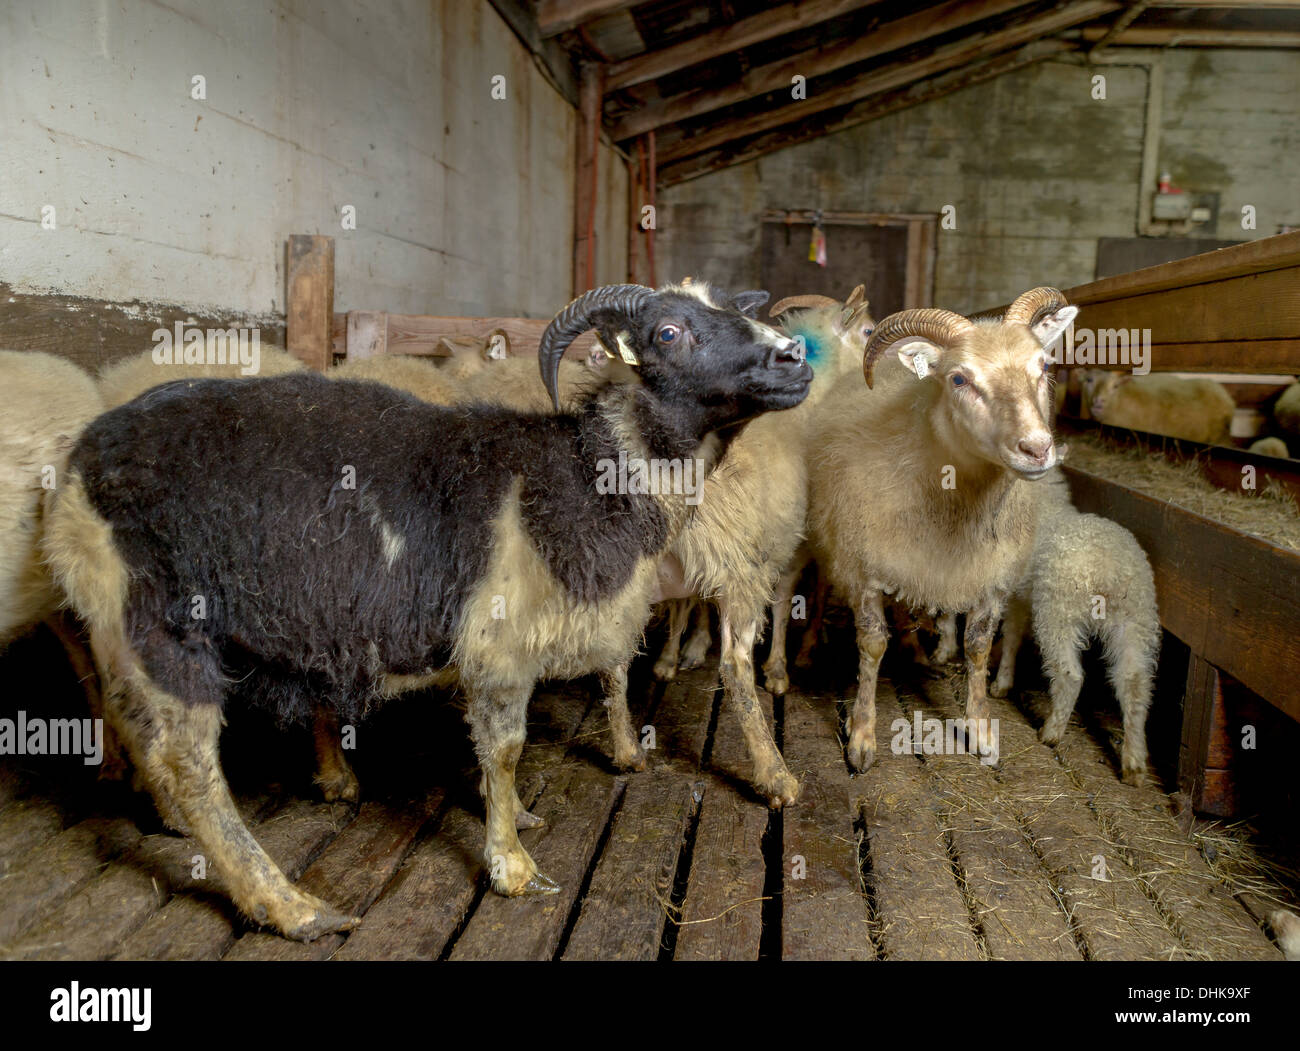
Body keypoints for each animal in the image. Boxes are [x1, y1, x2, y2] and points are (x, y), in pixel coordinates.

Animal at [42, 281, 810, 940]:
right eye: (669, 332)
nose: (793, 355)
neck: (587, 480)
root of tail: (80, 461)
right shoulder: (499, 643)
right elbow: (505, 749)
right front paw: (513, 866)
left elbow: (491, 746)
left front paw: (518, 818)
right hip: (164, 625)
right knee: (189, 765)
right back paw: (290, 906)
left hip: (123, 633)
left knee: (141, 735)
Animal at [803, 288, 1078, 772]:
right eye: (959, 379)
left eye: (1044, 366)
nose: (1037, 448)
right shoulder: (864, 569)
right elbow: (871, 647)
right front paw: (862, 736)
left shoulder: (987, 577)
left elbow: (978, 648)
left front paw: (981, 729)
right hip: (831, 539)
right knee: (819, 590)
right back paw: (809, 644)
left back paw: (916, 653)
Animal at [990, 468, 1159, 784]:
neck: (1045, 506)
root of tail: (1109, 568)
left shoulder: (1018, 594)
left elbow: (1012, 636)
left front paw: (1002, 681)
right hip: (1136, 620)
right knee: (1134, 683)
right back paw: (1133, 762)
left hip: (1059, 613)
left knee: (1070, 675)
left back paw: (1051, 732)